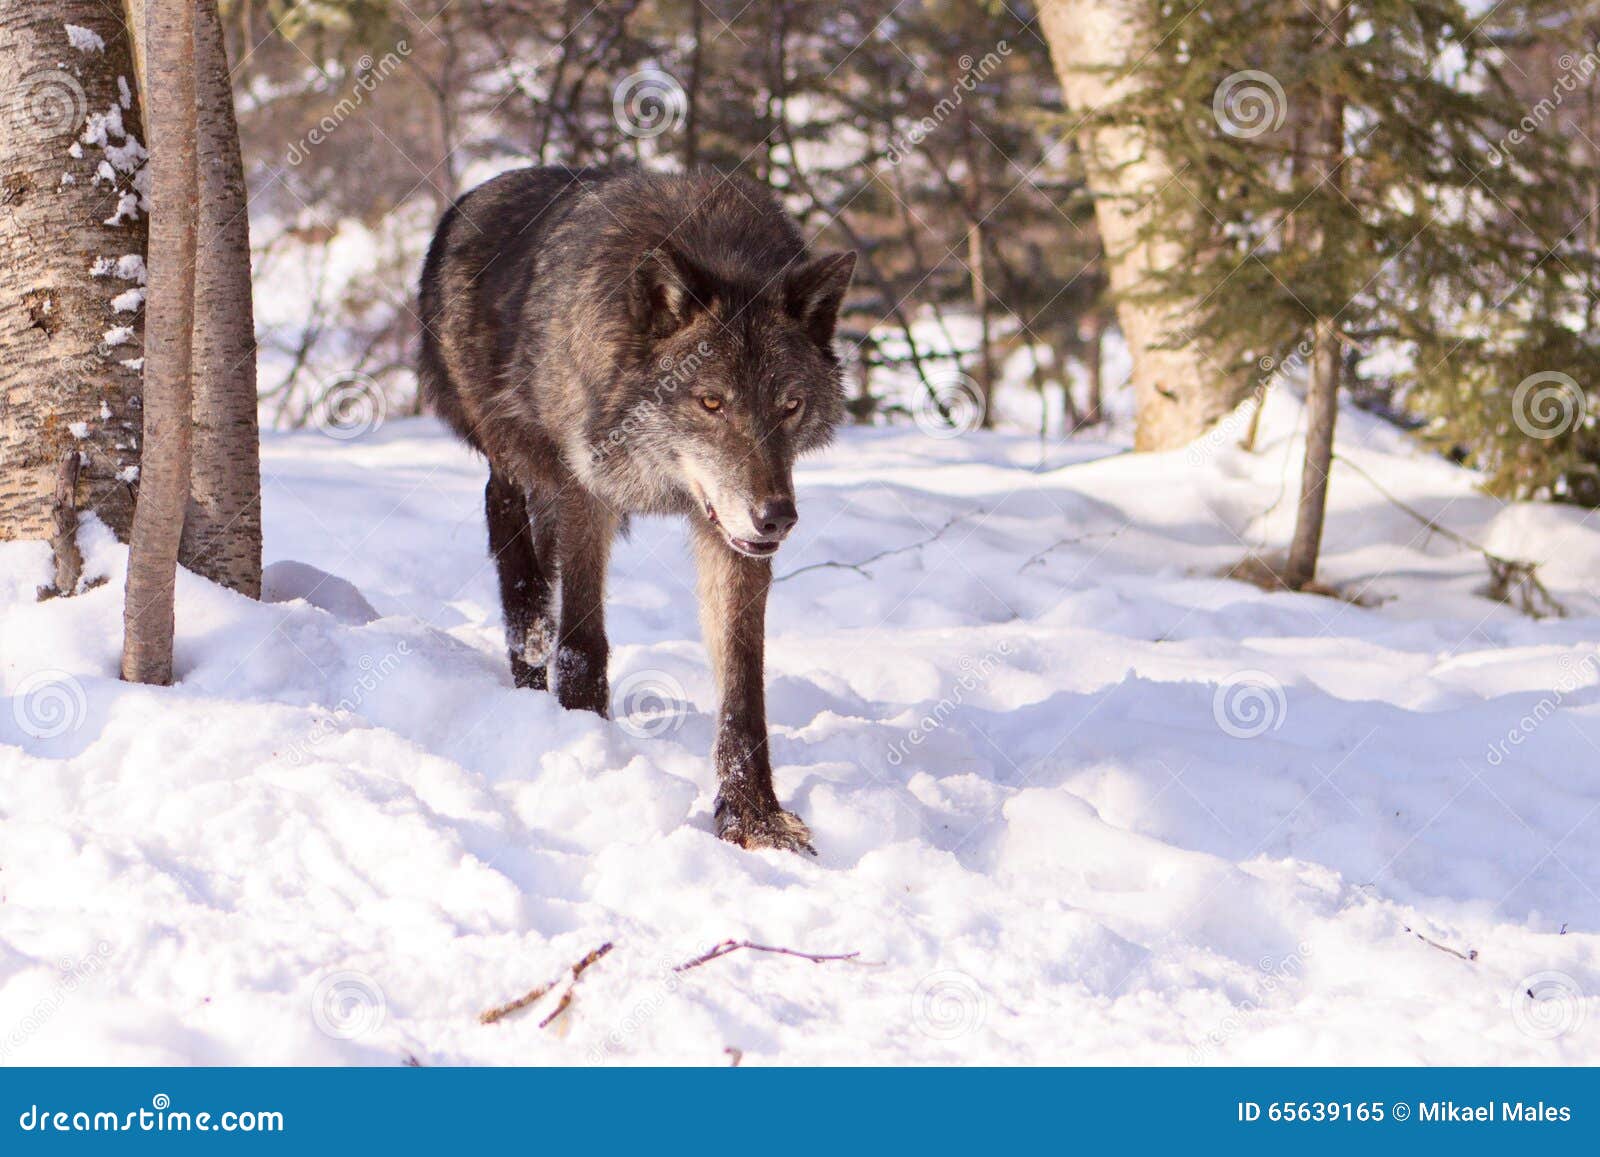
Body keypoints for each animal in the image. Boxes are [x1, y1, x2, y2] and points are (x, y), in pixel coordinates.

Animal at [418, 165, 856, 855]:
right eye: (711, 402)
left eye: (790, 406)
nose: (777, 518)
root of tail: (471, 196)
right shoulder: (585, 490)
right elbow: (582, 642)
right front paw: (582, 738)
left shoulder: (728, 531)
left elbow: (744, 686)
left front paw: (752, 817)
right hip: (514, 451)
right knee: (506, 520)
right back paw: (528, 649)